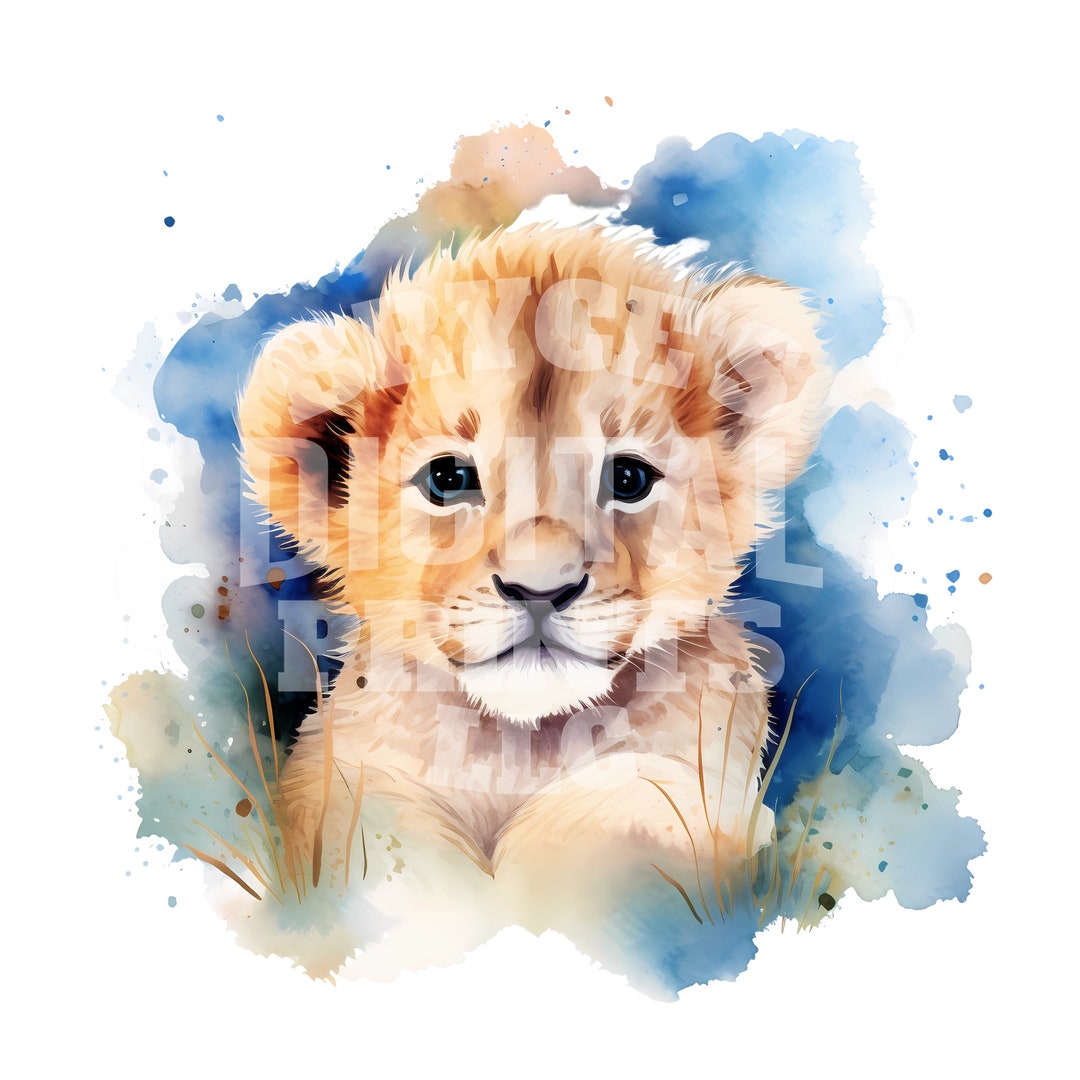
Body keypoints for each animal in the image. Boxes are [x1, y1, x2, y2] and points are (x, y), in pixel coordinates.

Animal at [236, 225, 829, 941]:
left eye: (629, 477)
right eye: (448, 479)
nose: (541, 590)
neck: (520, 751)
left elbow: (631, 803)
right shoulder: (350, 780)